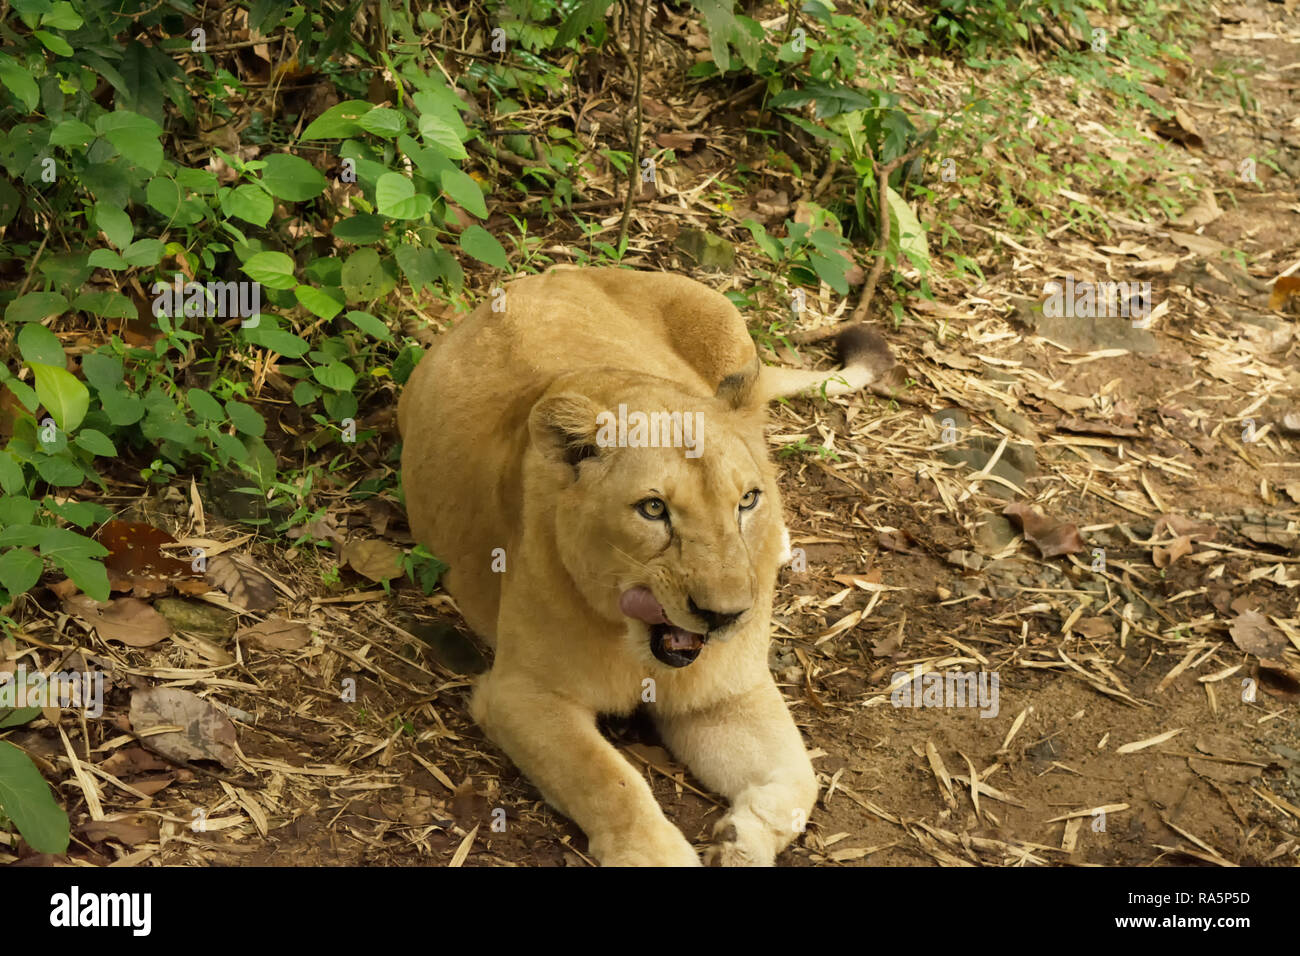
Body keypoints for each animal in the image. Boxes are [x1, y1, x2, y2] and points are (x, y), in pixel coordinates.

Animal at [398, 267, 889, 866]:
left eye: (747, 501)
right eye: (653, 510)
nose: (725, 616)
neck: (637, 646)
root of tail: (547, 273)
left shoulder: (727, 692)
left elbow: (800, 778)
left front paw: (740, 841)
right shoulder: (521, 694)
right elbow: (609, 780)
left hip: (727, 325)